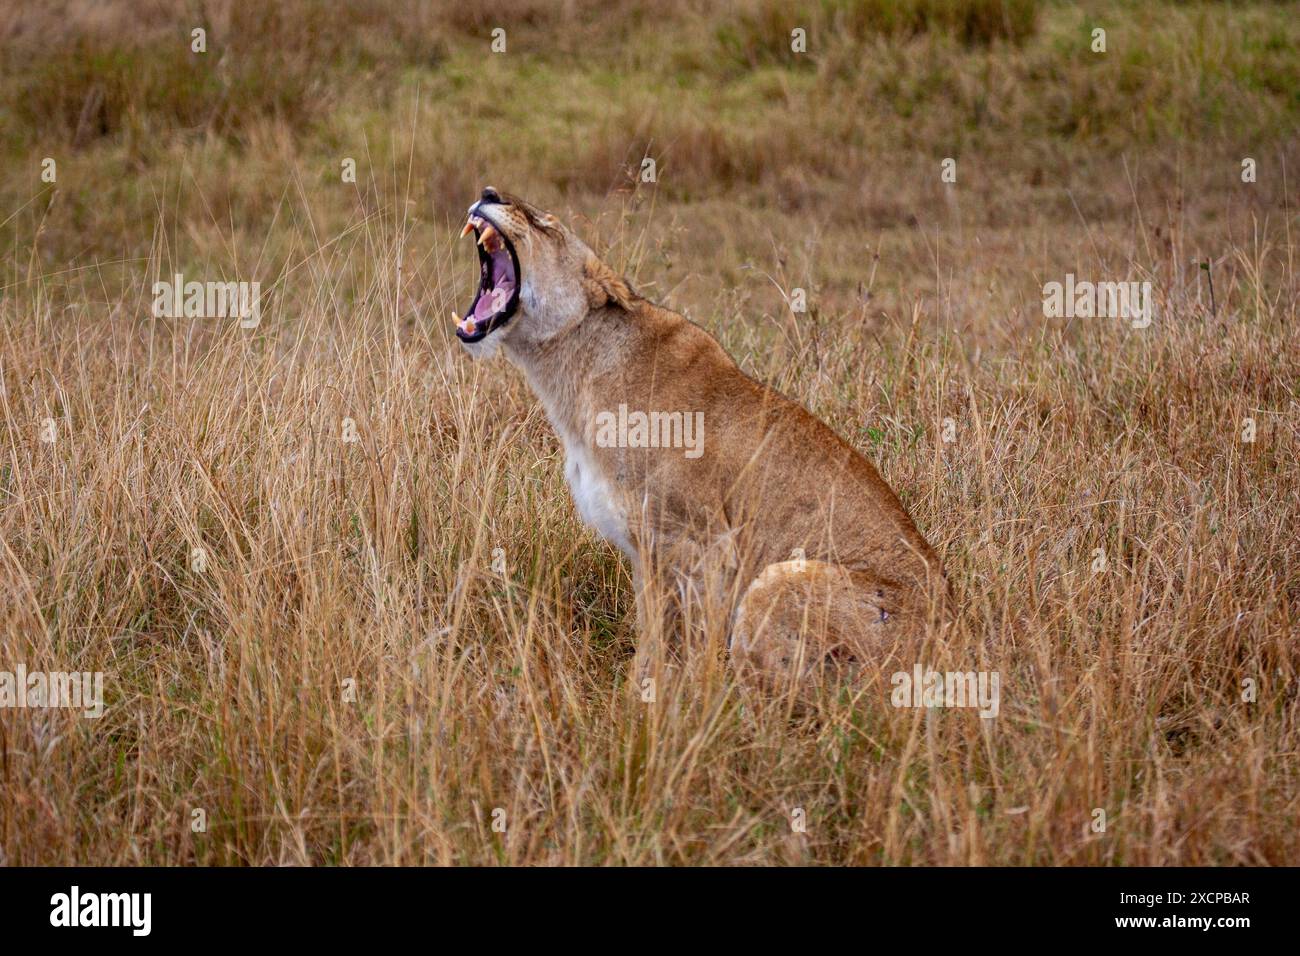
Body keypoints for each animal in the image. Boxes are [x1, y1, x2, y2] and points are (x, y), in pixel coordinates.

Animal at [451, 187, 946, 699]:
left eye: (543, 224)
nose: (488, 193)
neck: (568, 374)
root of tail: (956, 643)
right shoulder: (647, 553)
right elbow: (652, 631)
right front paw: (639, 693)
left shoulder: (702, 542)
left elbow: (687, 644)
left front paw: (667, 702)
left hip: (778, 581)